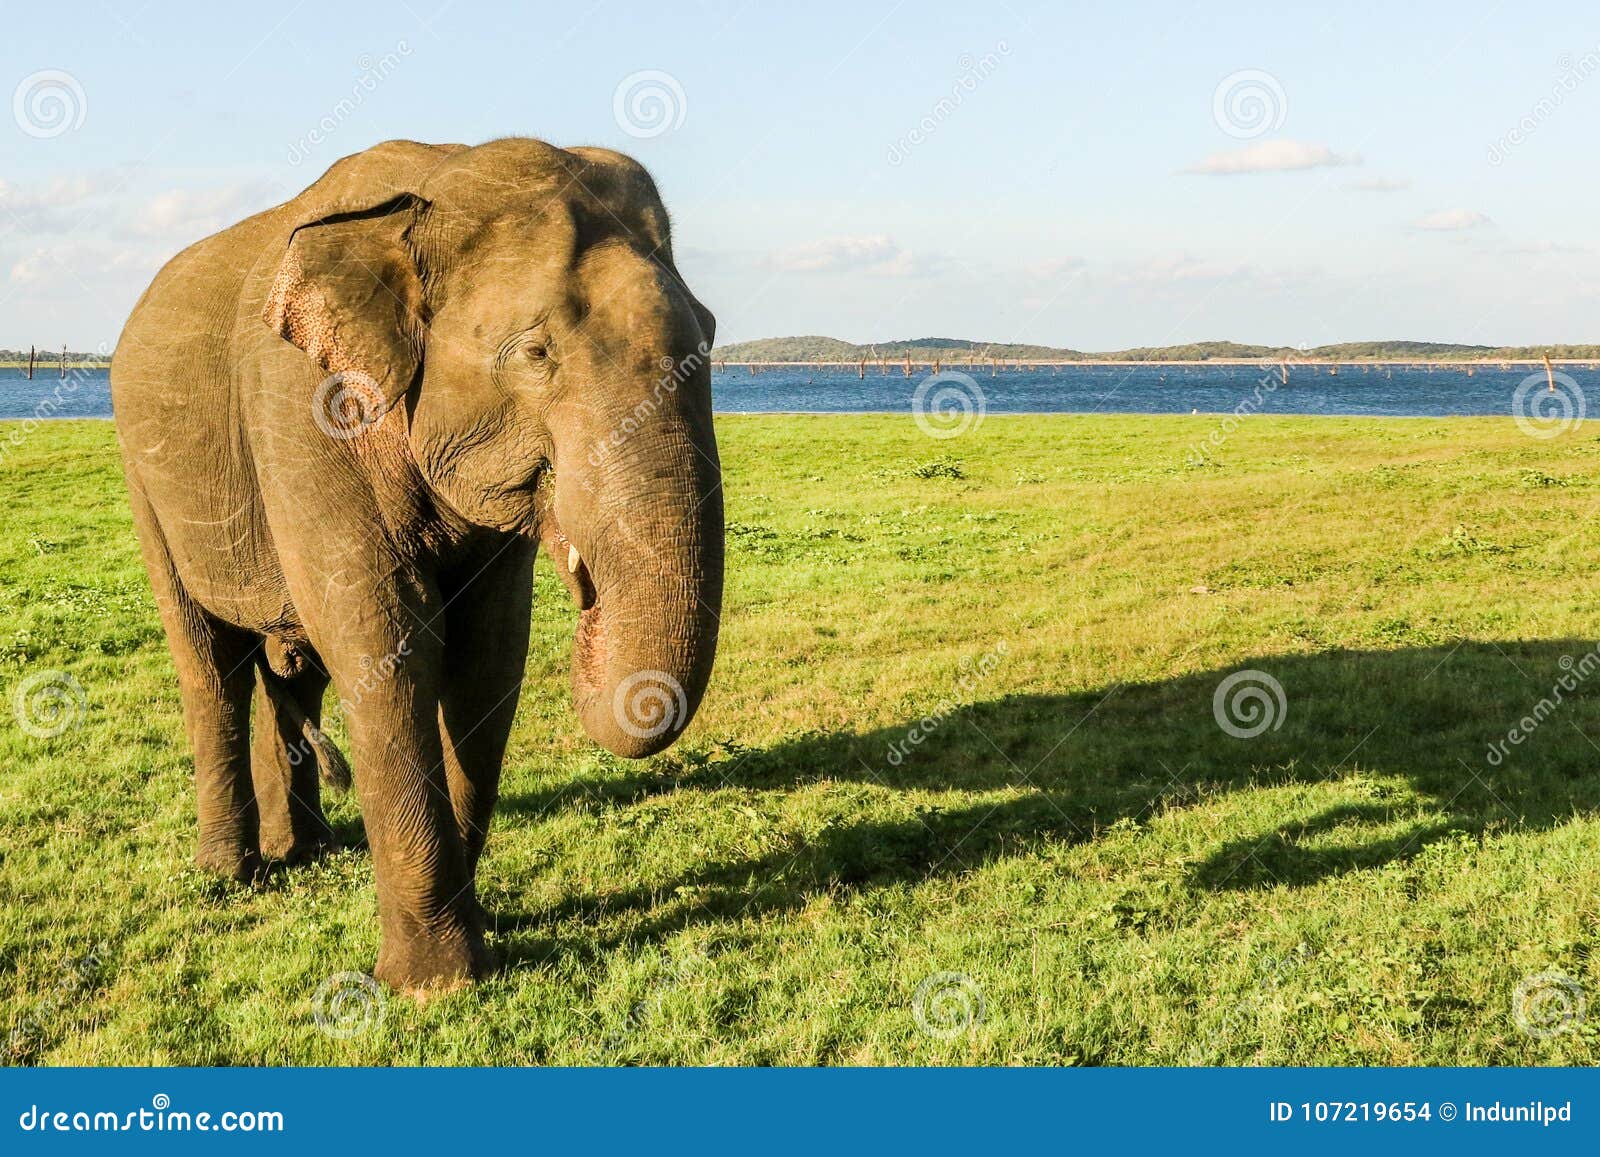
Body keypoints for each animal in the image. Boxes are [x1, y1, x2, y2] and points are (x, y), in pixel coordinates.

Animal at [111, 138, 724, 992]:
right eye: (535, 353)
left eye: (711, 331)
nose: (589, 588)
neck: (438, 180)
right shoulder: (302, 413)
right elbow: (390, 639)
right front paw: (434, 985)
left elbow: (487, 655)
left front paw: (479, 932)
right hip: (146, 480)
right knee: (211, 665)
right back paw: (231, 872)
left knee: (295, 669)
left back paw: (306, 849)